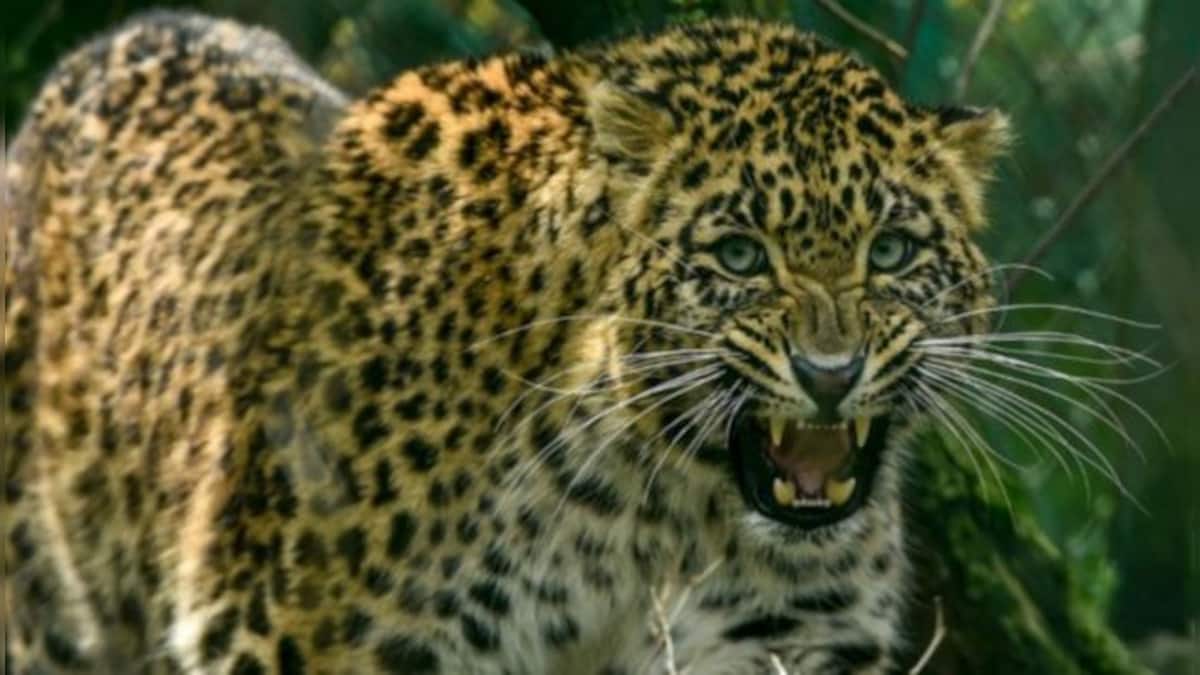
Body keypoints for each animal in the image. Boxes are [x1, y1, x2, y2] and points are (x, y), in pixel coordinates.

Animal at [3, 10, 1009, 675]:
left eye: (892, 250)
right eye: (738, 255)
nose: (829, 374)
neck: (657, 508)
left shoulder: (783, 634)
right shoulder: (298, 631)